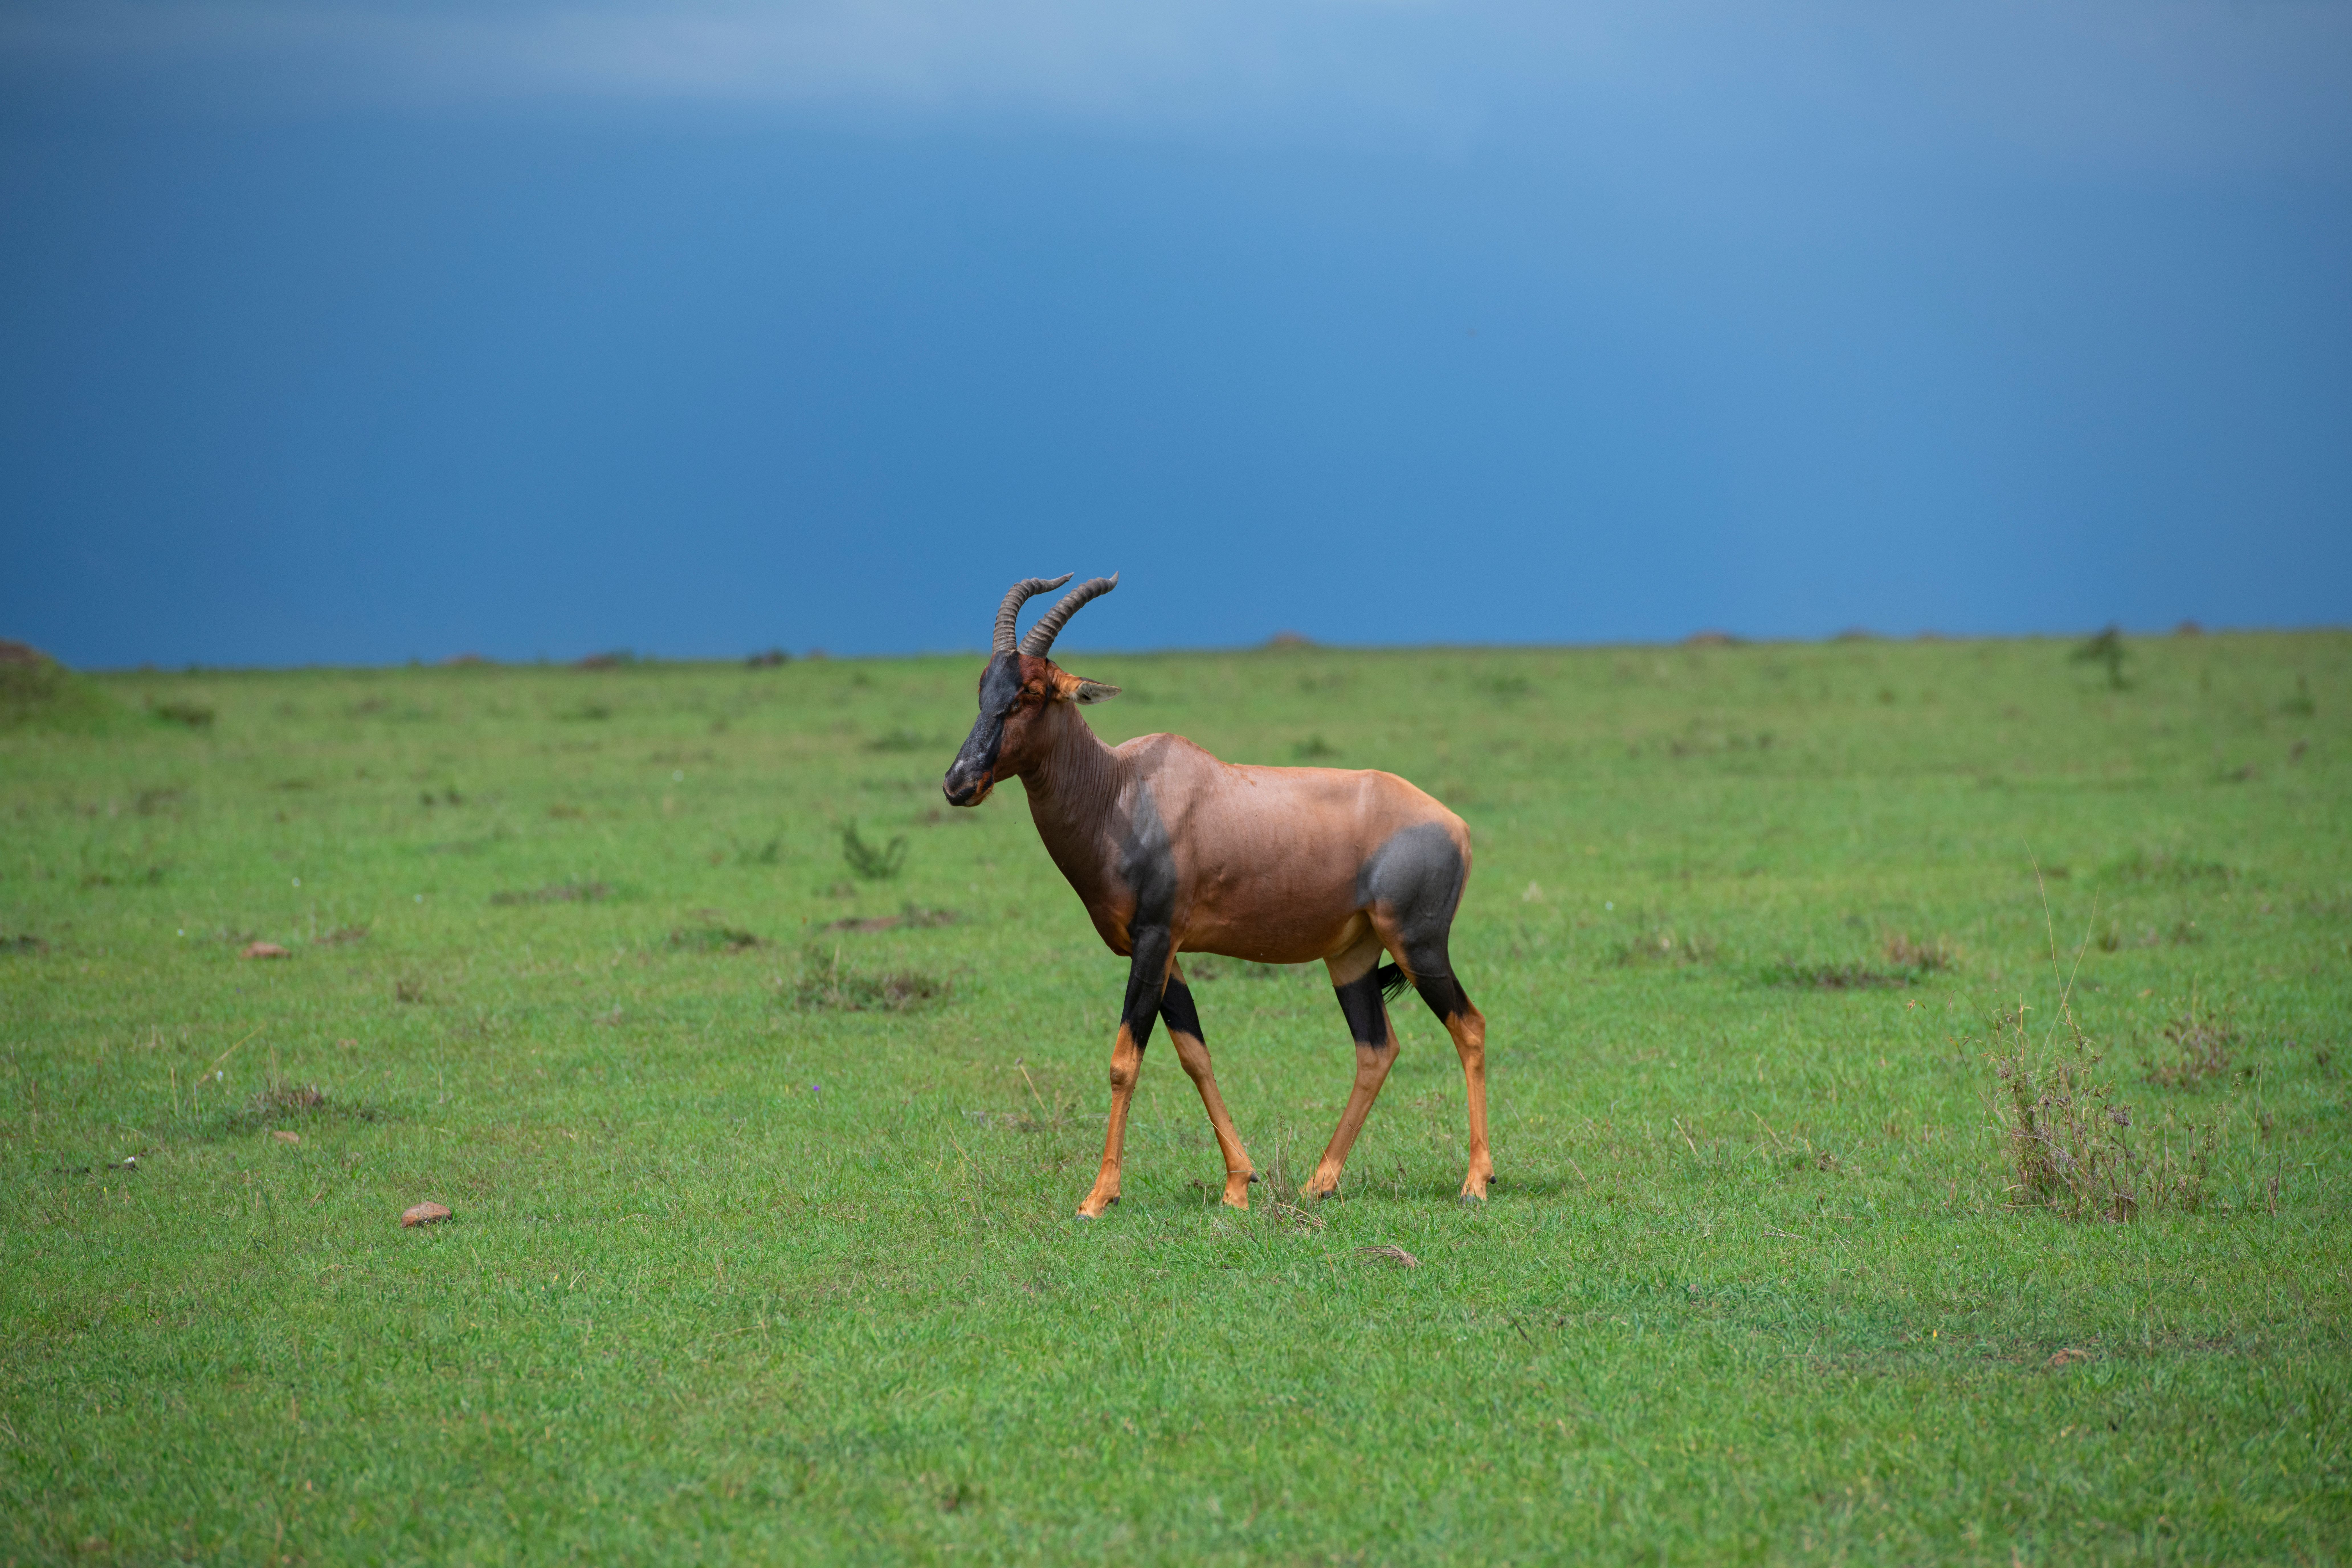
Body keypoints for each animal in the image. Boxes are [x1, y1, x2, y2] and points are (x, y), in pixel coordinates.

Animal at [942, 573, 1491, 1217]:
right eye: (984, 686)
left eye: (1030, 692)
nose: (959, 783)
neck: (1123, 789)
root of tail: (1456, 825)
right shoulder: (1164, 952)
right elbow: (1194, 1054)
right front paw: (1237, 1184)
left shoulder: (1154, 940)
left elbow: (1124, 1060)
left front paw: (1099, 1196)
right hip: (1351, 955)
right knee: (1377, 1048)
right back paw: (1319, 1181)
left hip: (1418, 943)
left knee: (1469, 1026)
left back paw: (1476, 1180)